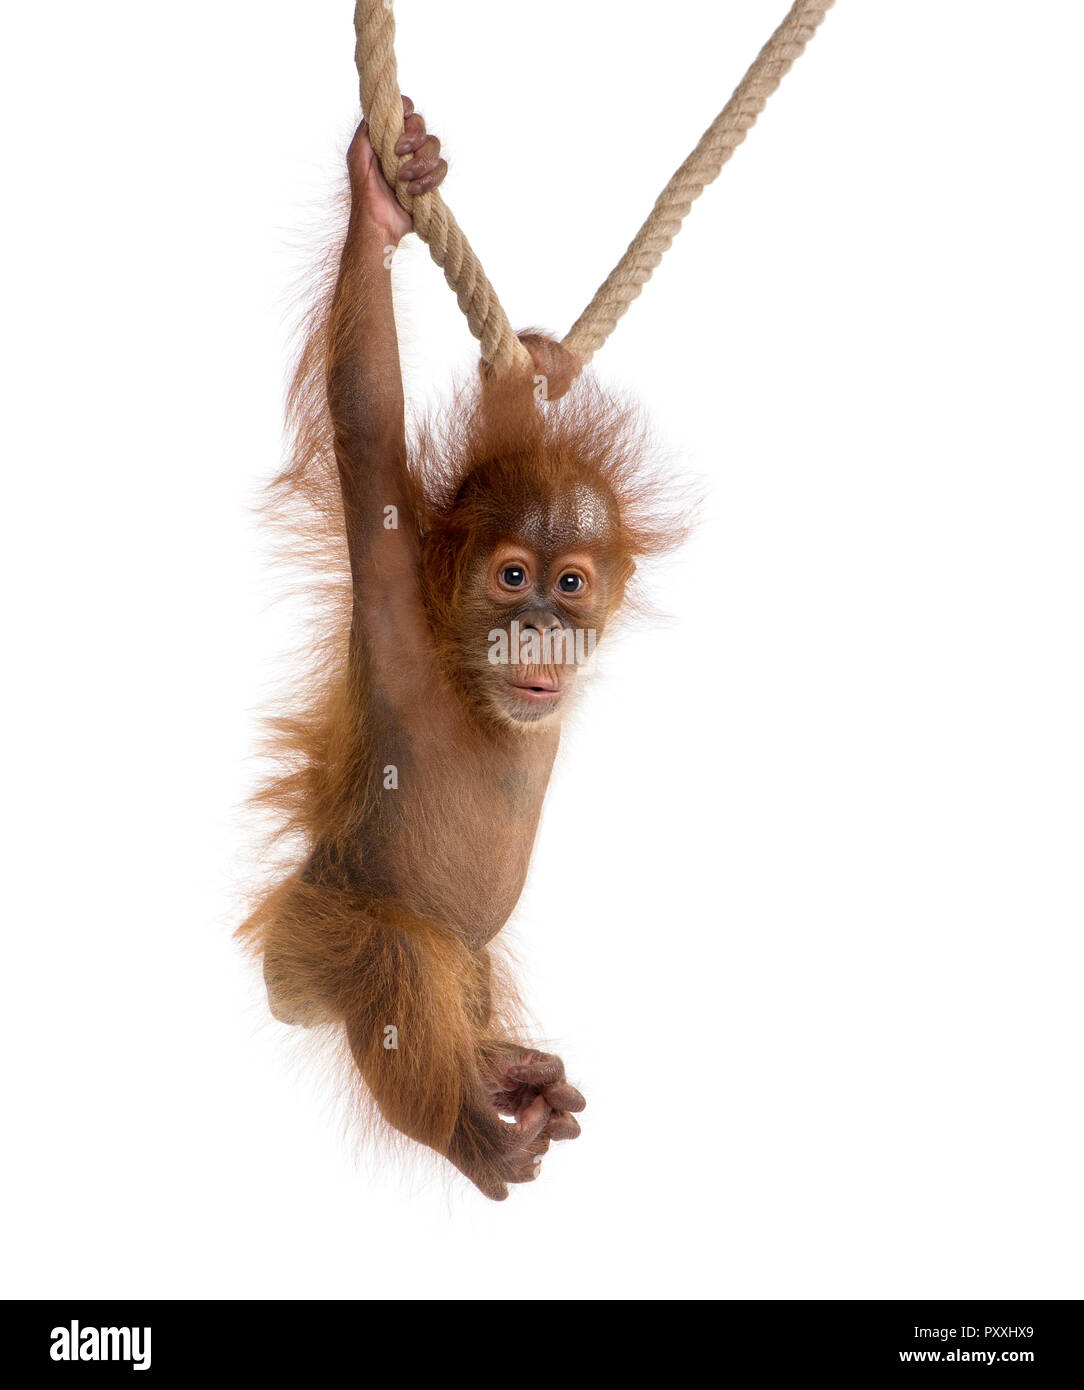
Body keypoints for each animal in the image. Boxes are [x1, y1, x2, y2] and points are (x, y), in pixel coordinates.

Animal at [240, 97, 685, 1200]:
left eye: (571, 584)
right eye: (512, 577)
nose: (541, 626)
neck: (483, 698)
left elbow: (504, 425)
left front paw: (537, 368)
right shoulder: (398, 608)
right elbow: (367, 425)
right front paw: (377, 208)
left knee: (457, 970)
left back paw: (507, 1070)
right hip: (317, 934)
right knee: (396, 964)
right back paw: (475, 1130)